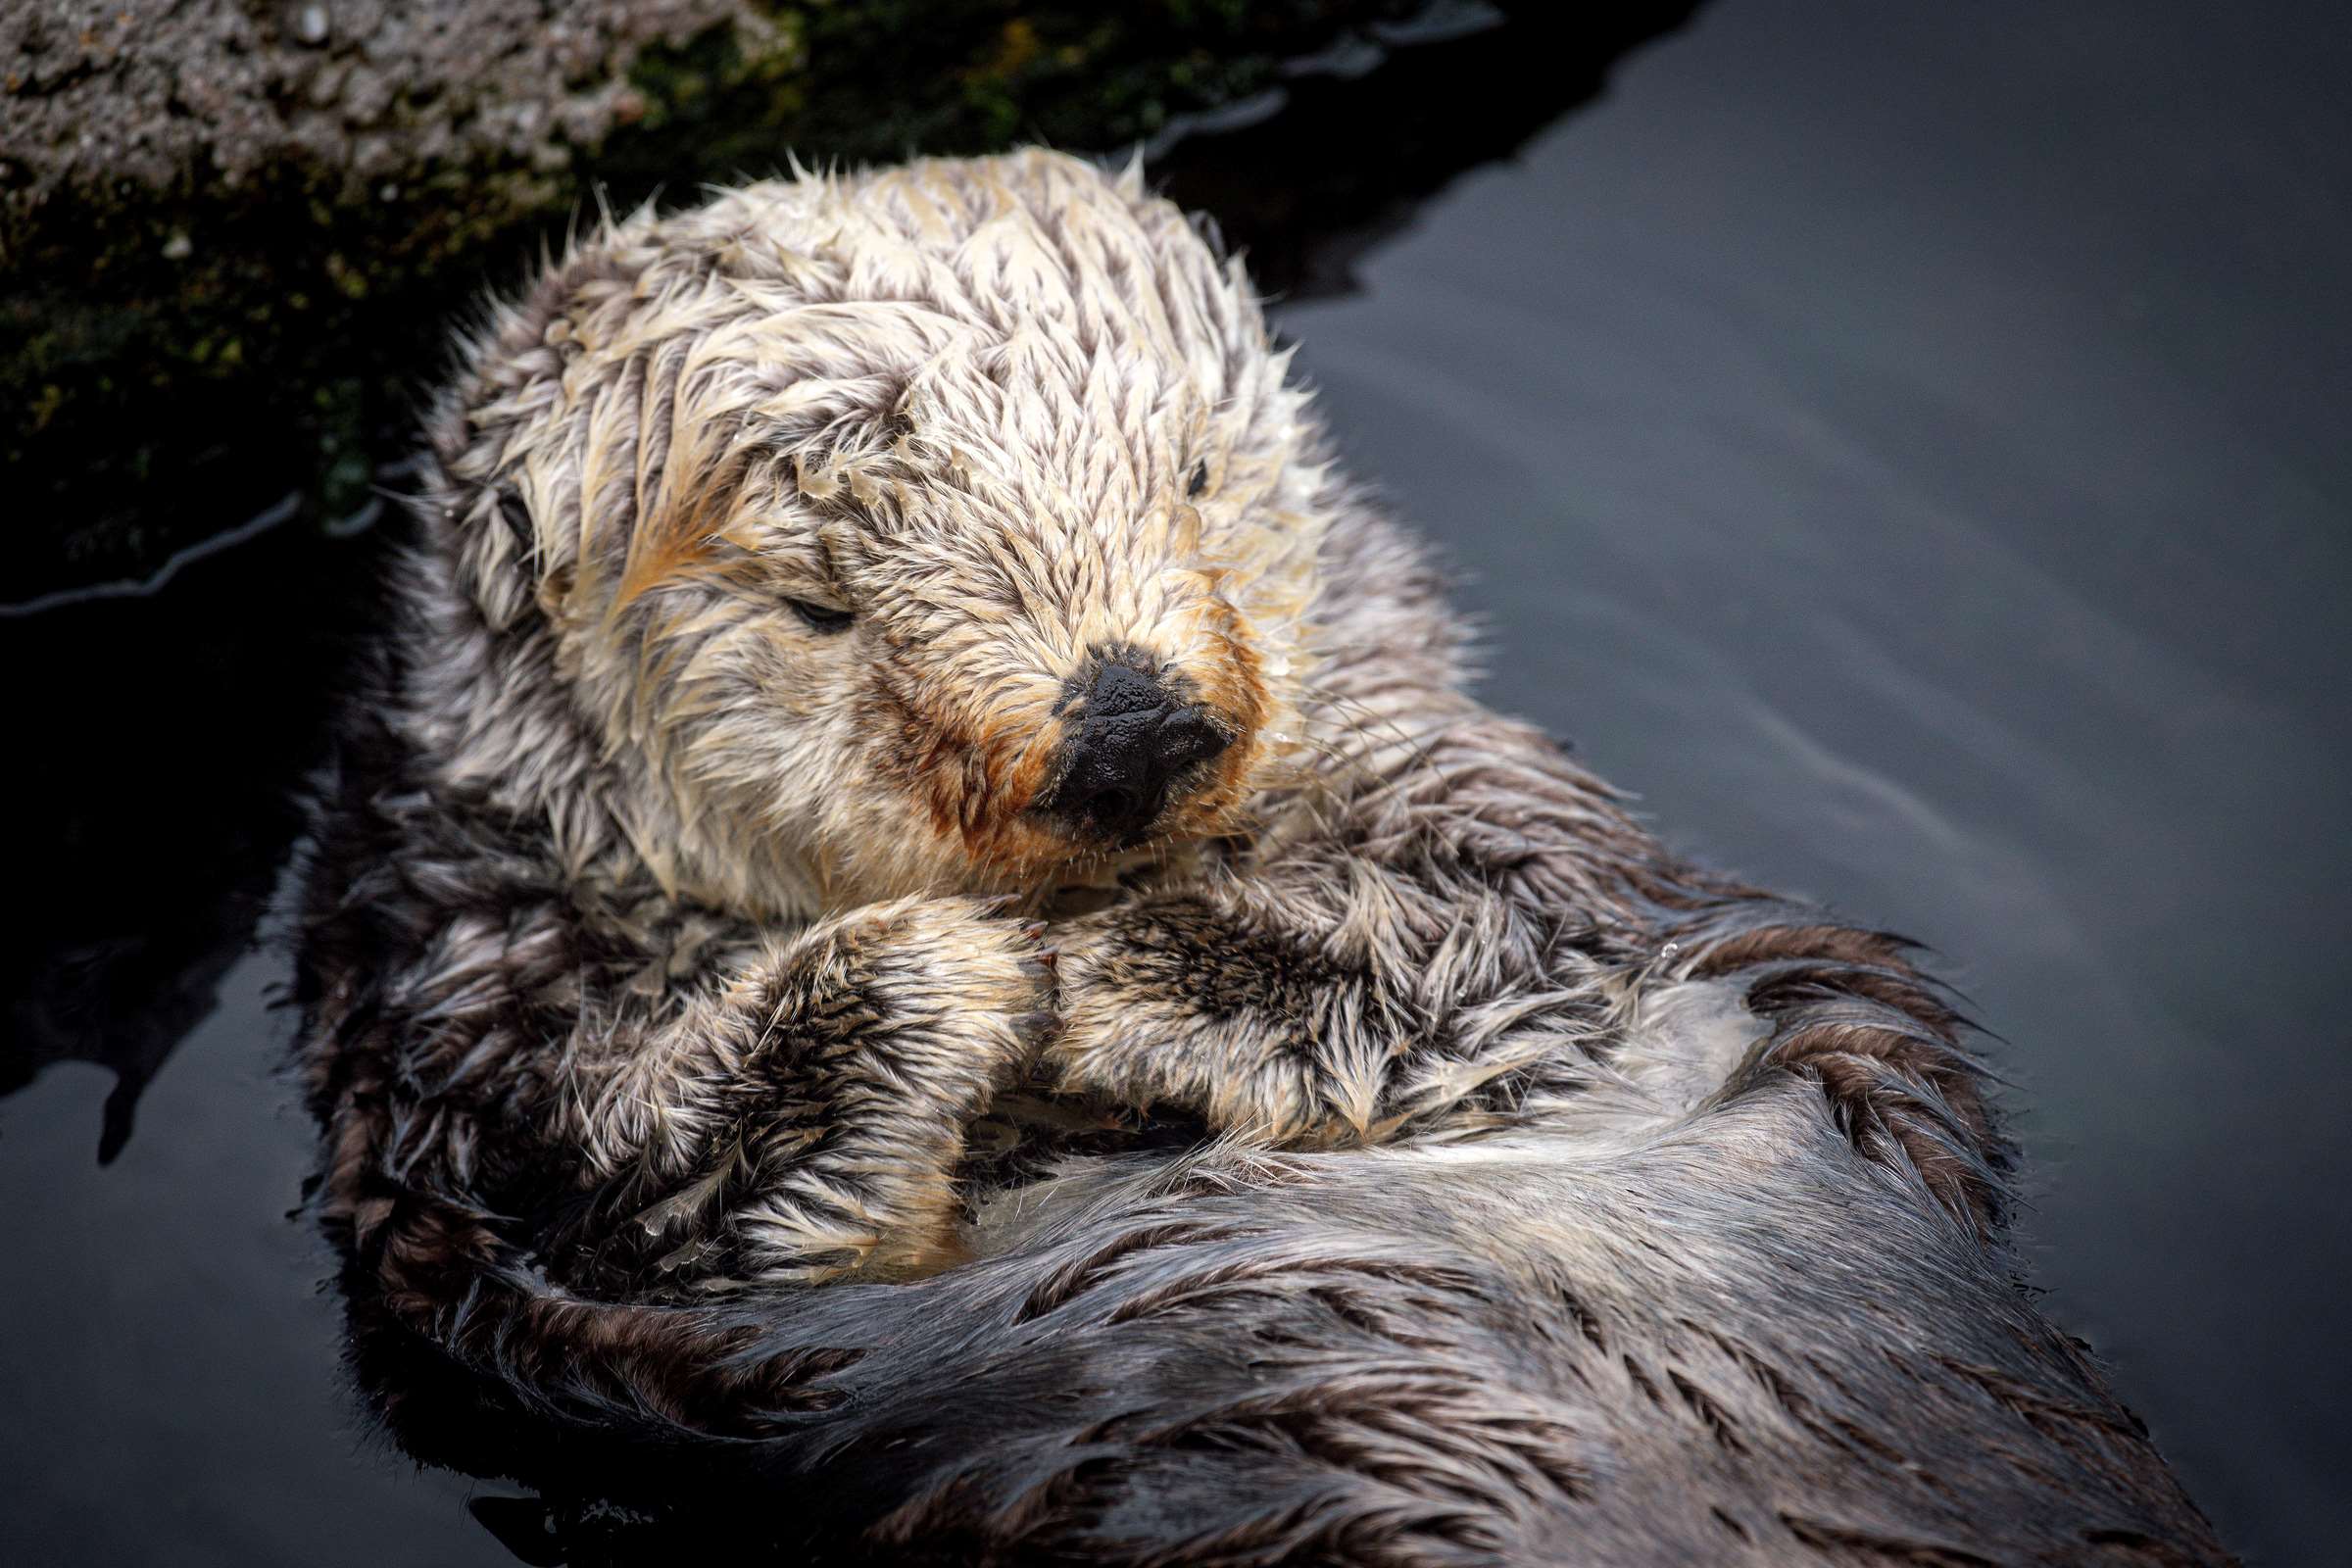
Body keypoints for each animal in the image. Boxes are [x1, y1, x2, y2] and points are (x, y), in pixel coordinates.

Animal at [294, 150, 2227, 1563]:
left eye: (1194, 478)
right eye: (811, 606)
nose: (1126, 720)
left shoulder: (1538, 854)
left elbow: (1511, 956)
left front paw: (1131, 966)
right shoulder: (465, 1096)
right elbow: (632, 1196)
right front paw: (938, 975)